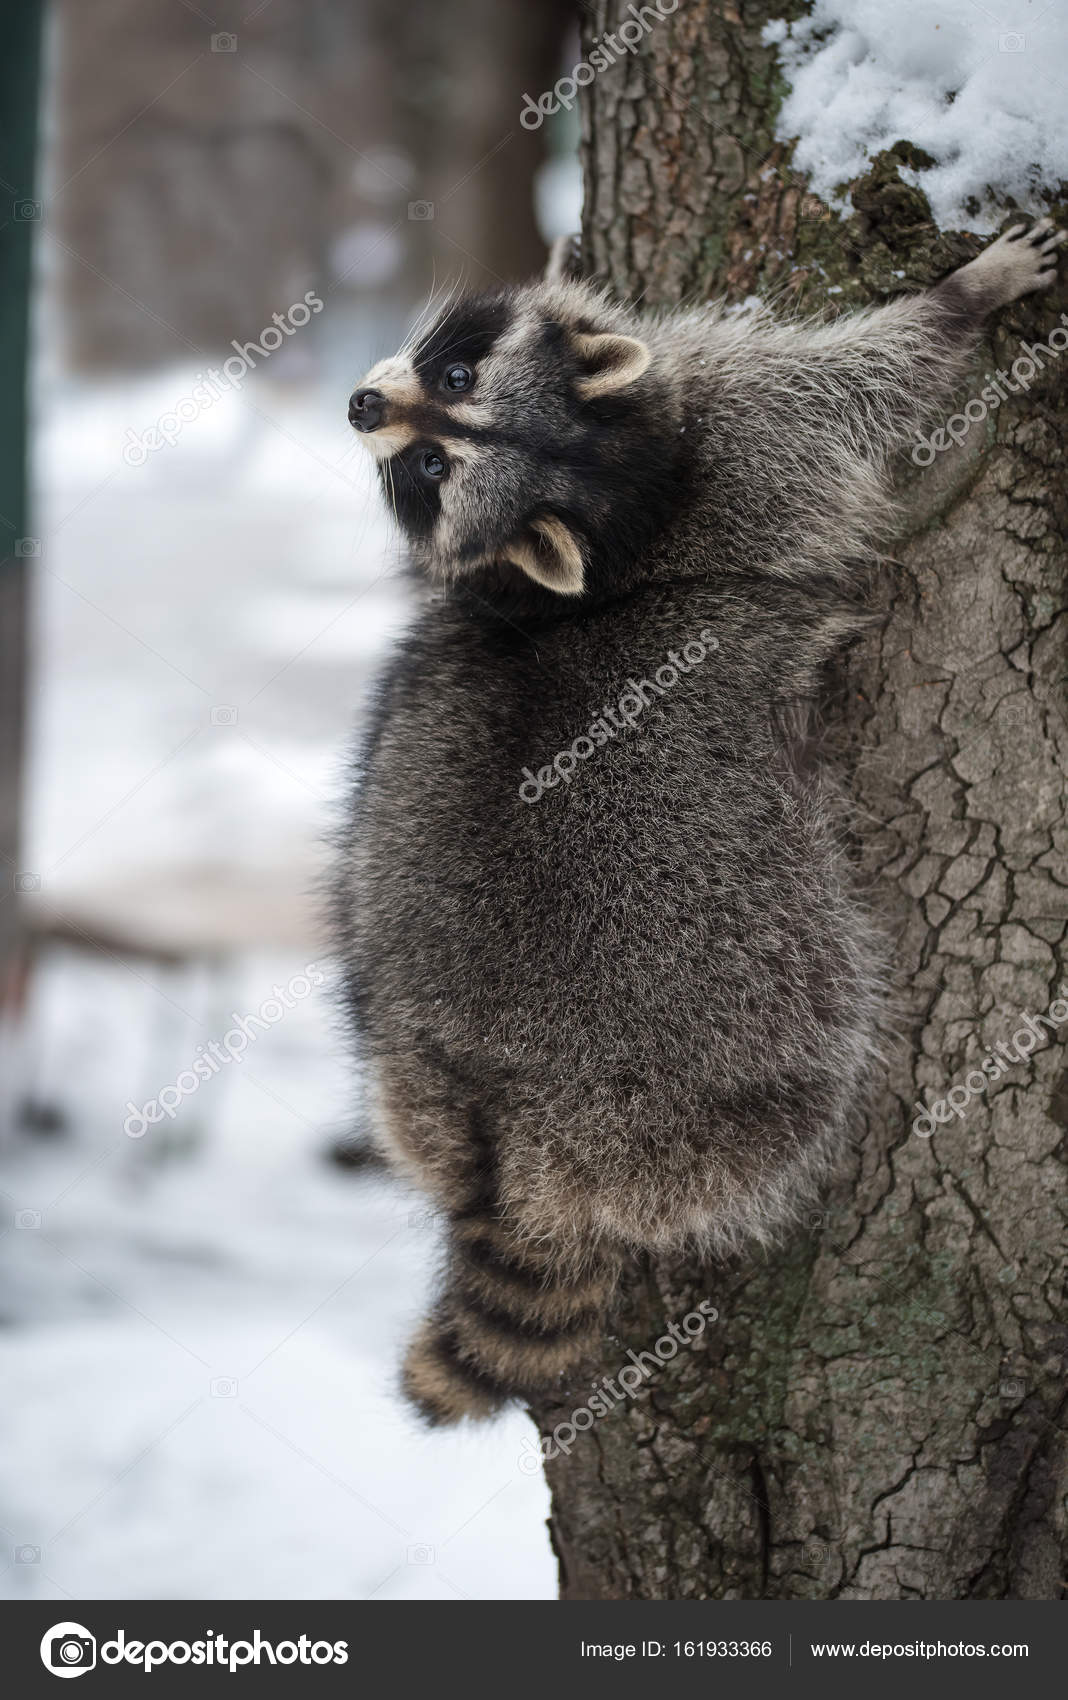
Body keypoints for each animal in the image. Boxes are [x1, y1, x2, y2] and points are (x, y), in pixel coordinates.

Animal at [335, 220, 1064, 1424]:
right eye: (430, 451)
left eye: (453, 390)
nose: (358, 405)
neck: (619, 497)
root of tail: (510, 1148)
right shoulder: (765, 436)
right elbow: (873, 380)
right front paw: (966, 296)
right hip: (746, 1048)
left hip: (396, 1034)